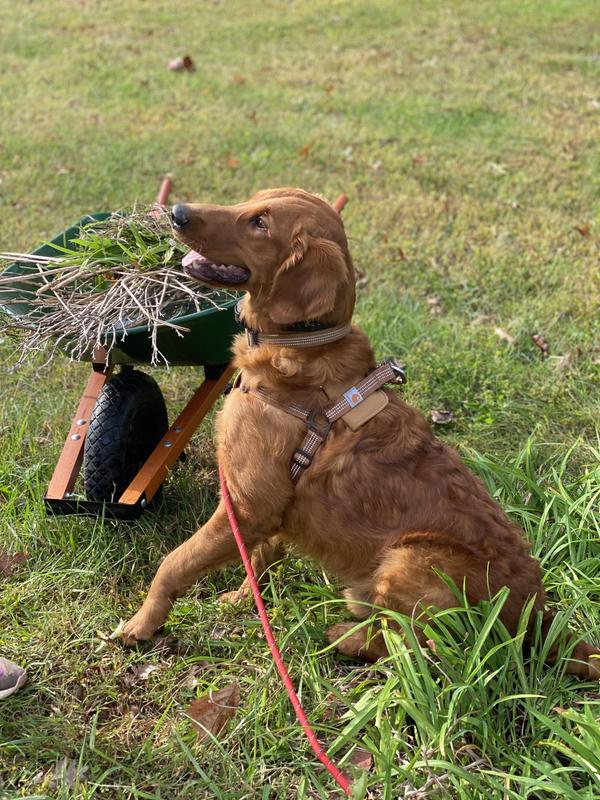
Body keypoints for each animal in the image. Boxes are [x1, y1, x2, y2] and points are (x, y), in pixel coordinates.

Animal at [119, 191, 596, 680]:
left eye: (260, 223)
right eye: (250, 201)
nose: (176, 213)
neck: (298, 349)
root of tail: (540, 621)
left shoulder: (246, 507)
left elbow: (175, 562)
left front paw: (142, 624)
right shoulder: (271, 509)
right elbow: (259, 558)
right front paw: (239, 600)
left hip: (409, 559)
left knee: (420, 649)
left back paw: (343, 637)